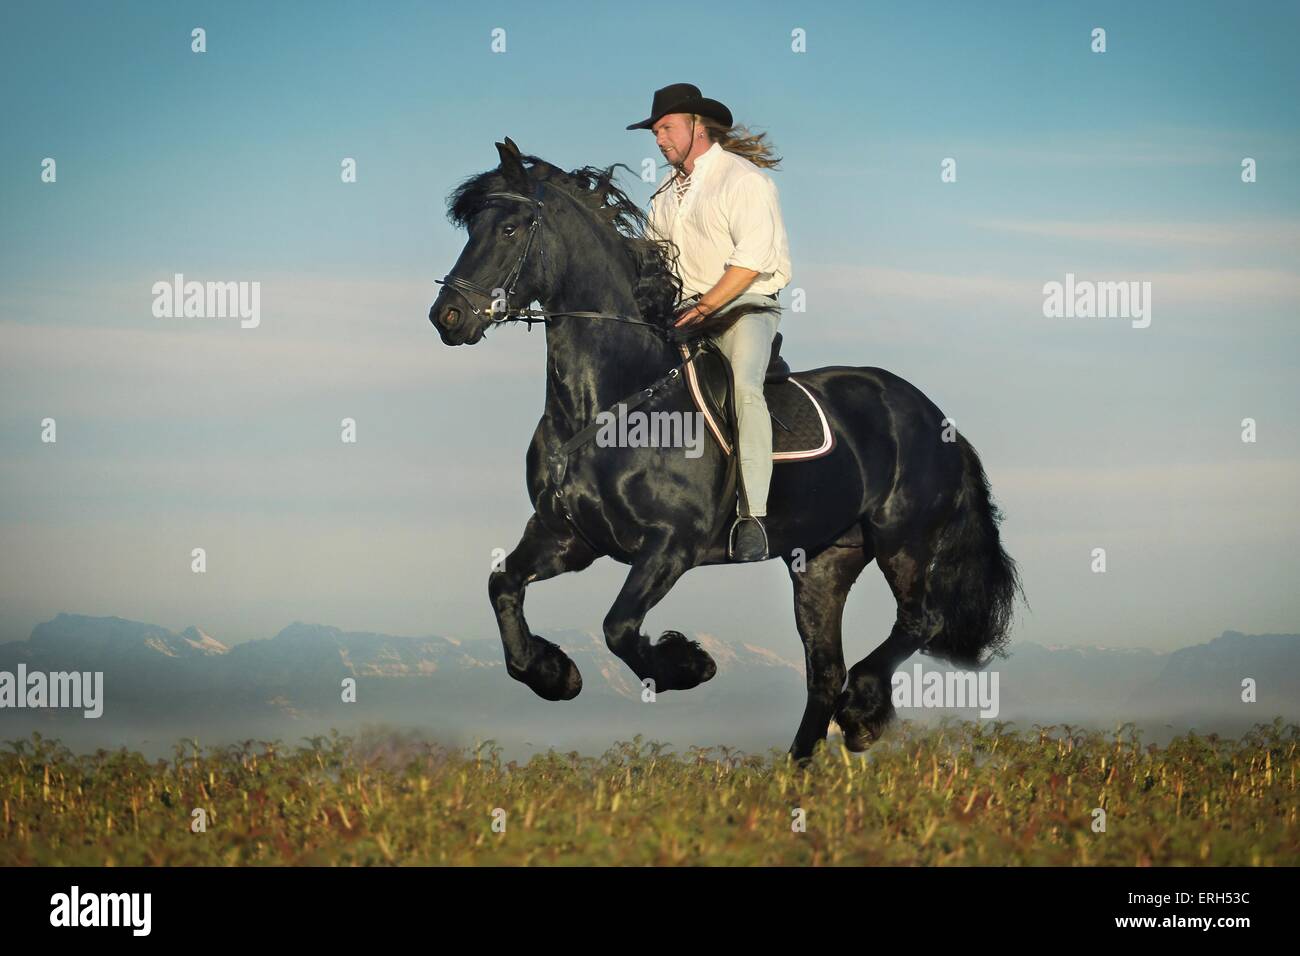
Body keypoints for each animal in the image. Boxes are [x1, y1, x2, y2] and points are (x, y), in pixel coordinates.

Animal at [428, 138, 1024, 765]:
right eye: (472, 227)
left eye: (510, 228)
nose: (447, 317)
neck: (609, 403)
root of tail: (934, 415)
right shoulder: (568, 536)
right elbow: (502, 587)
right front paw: (555, 674)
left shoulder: (671, 544)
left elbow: (618, 627)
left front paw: (688, 665)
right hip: (825, 560)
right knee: (825, 670)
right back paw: (798, 768)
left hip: (901, 539)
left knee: (918, 621)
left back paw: (861, 713)